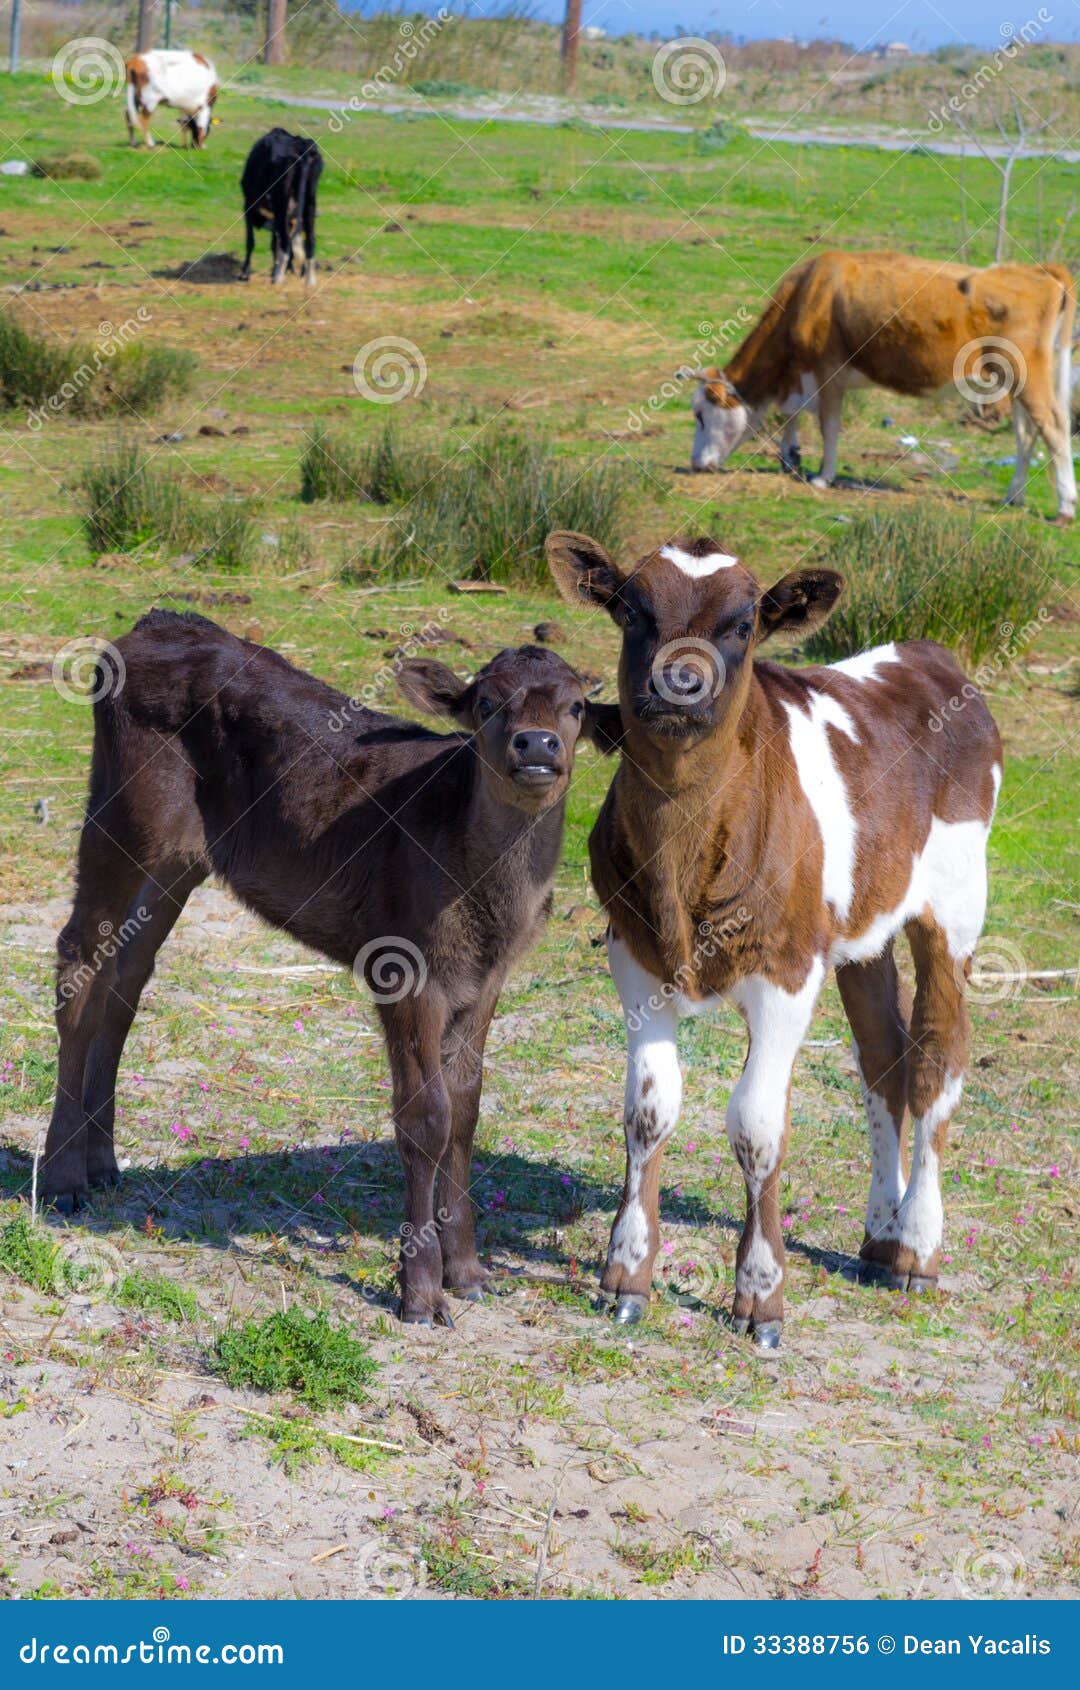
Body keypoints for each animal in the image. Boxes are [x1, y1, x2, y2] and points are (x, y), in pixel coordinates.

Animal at [42, 615, 607, 1327]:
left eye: (577, 706)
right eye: (486, 703)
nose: (536, 744)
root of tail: (162, 620)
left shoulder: (485, 981)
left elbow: (466, 1110)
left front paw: (469, 1272)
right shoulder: (406, 969)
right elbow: (426, 1118)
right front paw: (421, 1290)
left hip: (178, 860)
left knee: (125, 980)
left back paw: (102, 1162)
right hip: (118, 822)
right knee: (79, 972)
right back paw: (61, 1180)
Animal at [240, 128, 323, 289]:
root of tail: (301, 146)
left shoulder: (248, 206)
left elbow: (251, 241)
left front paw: (245, 273)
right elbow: (274, 244)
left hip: (282, 204)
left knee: (286, 242)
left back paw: (278, 279)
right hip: (310, 200)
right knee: (310, 241)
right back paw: (310, 281)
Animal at [546, 529, 1003, 1349]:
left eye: (742, 623)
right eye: (631, 610)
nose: (679, 682)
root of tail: (926, 654)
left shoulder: (789, 969)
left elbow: (756, 1126)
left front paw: (760, 1294)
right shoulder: (632, 954)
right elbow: (647, 1111)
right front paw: (626, 1274)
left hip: (953, 905)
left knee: (937, 1058)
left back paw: (918, 1247)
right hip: (861, 931)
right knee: (883, 1057)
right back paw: (881, 1235)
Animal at [689, 251, 1076, 521]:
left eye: (701, 415)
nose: (695, 464)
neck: (810, 291)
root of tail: (1039, 270)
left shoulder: (828, 371)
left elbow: (829, 425)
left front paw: (823, 476)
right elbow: (792, 416)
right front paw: (791, 456)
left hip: (1029, 375)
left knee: (1054, 426)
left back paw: (1065, 508)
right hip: (1014, 379)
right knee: (1027, 433)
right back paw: (1014, 496)